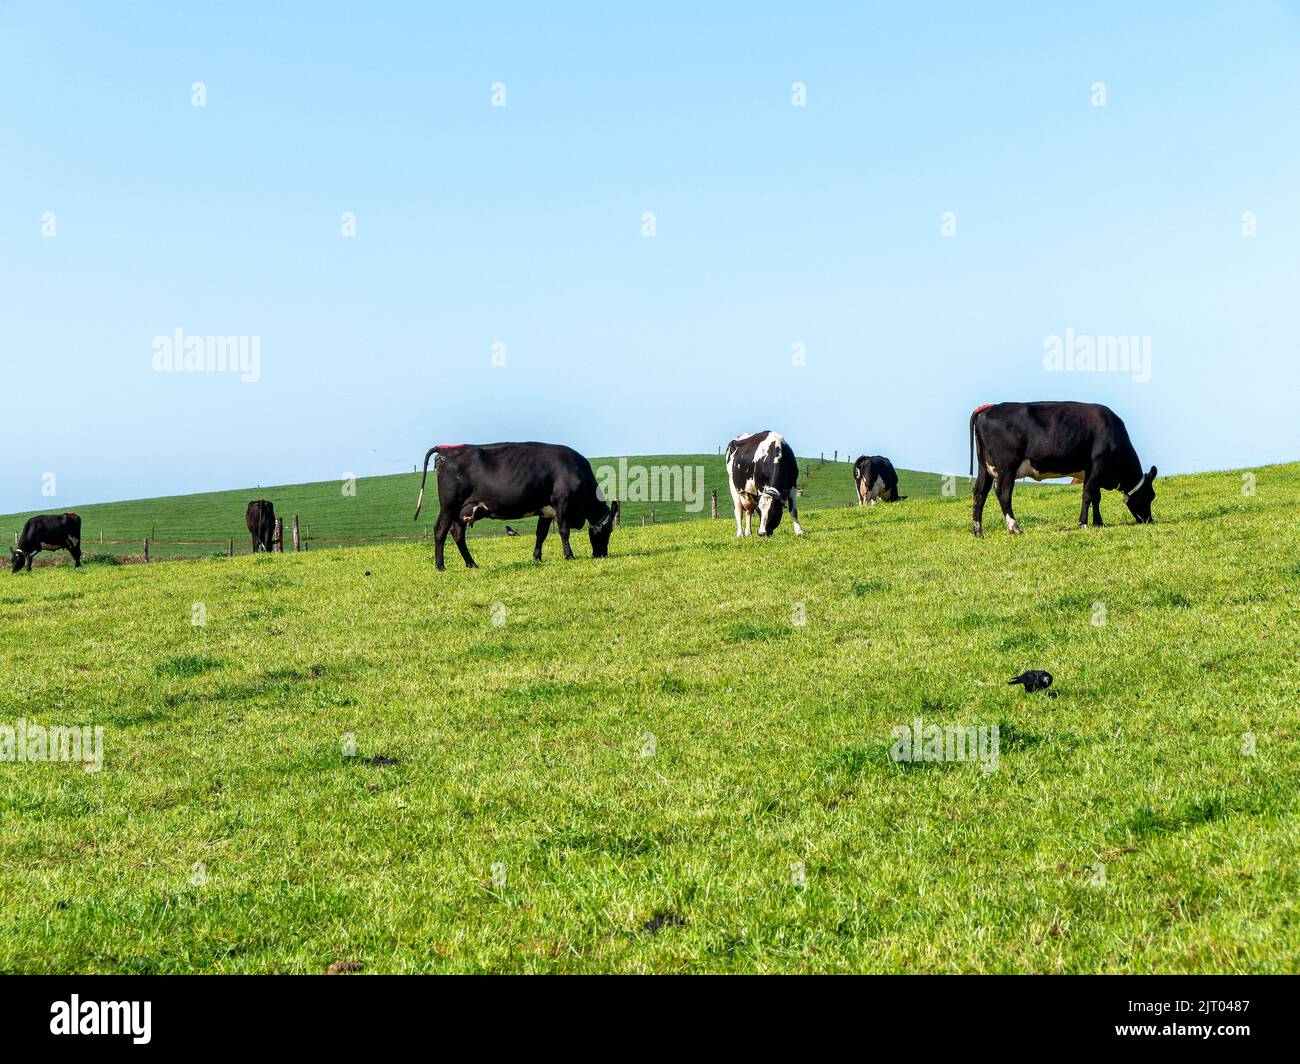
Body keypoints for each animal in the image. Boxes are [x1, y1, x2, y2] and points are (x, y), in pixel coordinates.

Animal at [413, 442, 618, 570]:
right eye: (608, 531)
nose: (602, 555)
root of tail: (446, 450)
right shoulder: (562, 503)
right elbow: (564, 531)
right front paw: (569, 555)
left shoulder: (546, 511)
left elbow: (541, 534)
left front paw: (536, 558)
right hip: (449, 506)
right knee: (440, 531)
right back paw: (440, 566)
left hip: (462, 511)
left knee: (457, 534)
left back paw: (471, 564)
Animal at [969, 401, 1156, 536]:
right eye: (1150, 496)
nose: (1149, 520)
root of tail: (988, 408)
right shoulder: (1098, 465)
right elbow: (1088, 496)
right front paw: (1084, 523)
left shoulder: (1090, 472)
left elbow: (1096, 497)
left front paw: (1099, 522)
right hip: (1007, 466)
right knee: (1004, 494)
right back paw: (1015, 529)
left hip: (985, 467)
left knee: (979, 493)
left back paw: (978, 532)